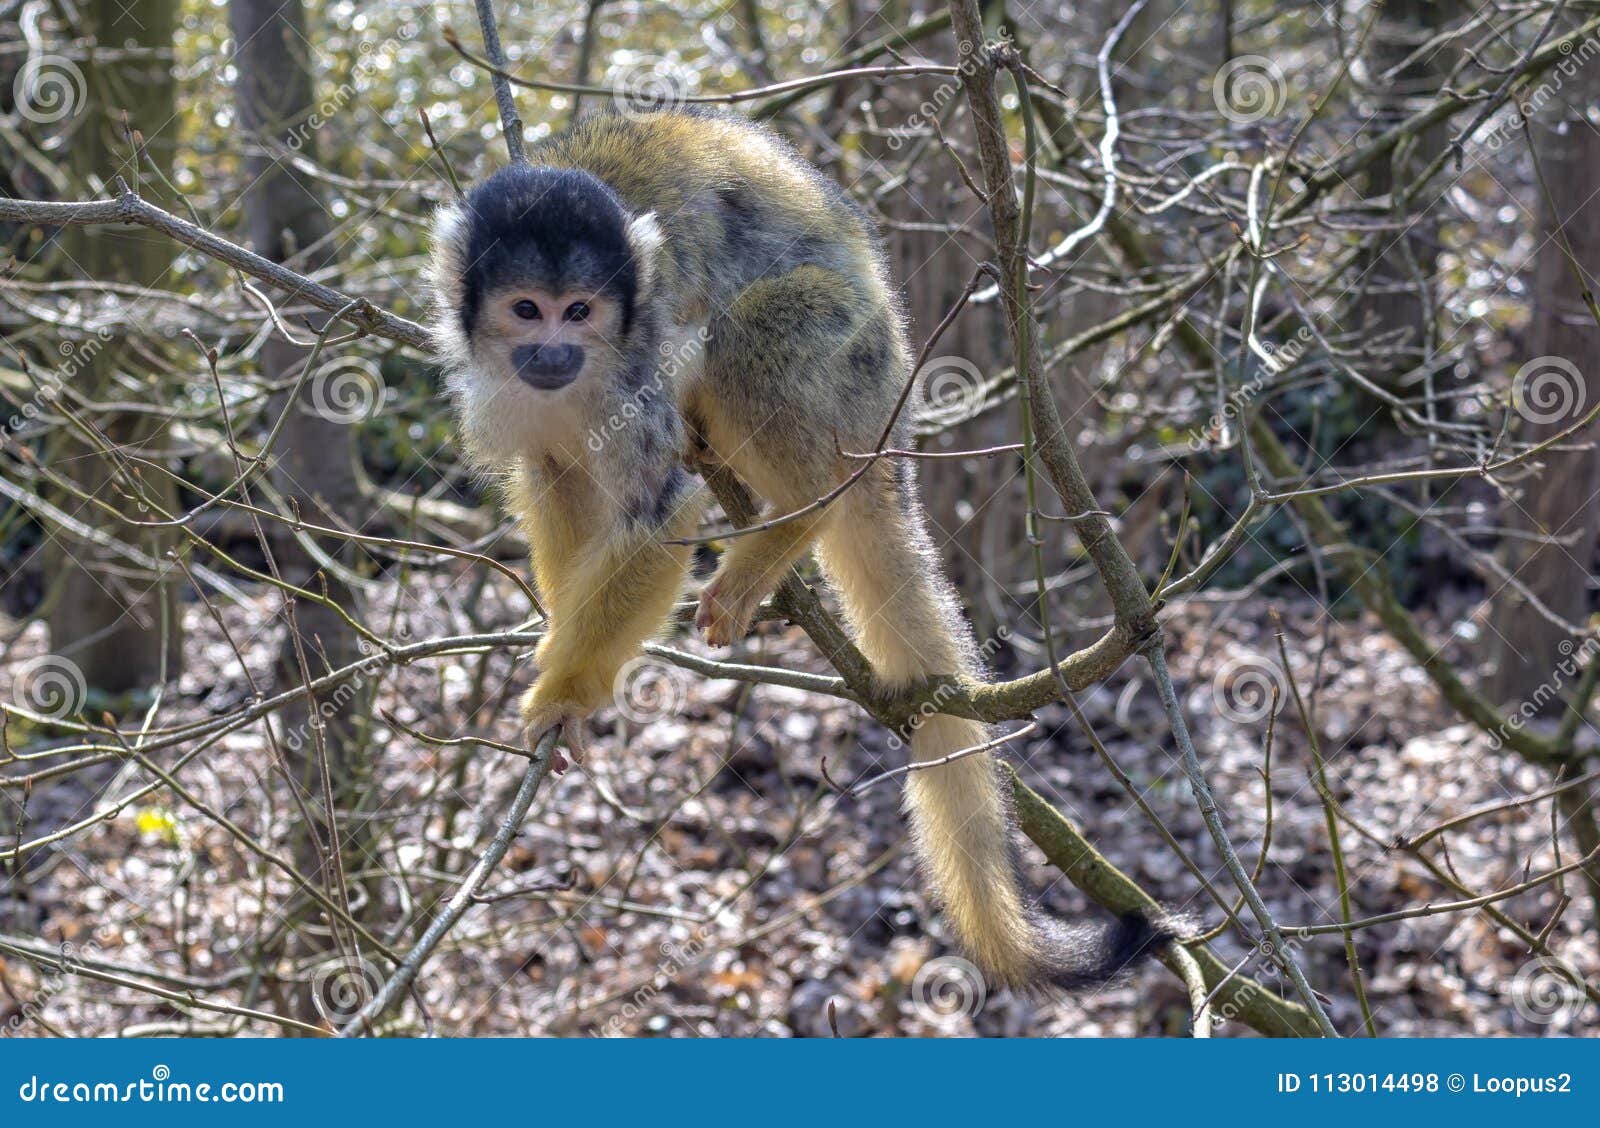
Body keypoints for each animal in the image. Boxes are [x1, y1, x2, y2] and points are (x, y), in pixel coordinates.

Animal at [428, 109, 1166, 990]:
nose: (553, 352)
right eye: (526, 309)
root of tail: (894, 394)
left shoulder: (635, 362)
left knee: (748, 330)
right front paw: (558, 629)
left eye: (580, 311)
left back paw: (799, 516)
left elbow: (659, 509)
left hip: (852, 367)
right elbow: (558, 472)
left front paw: (571, 690)